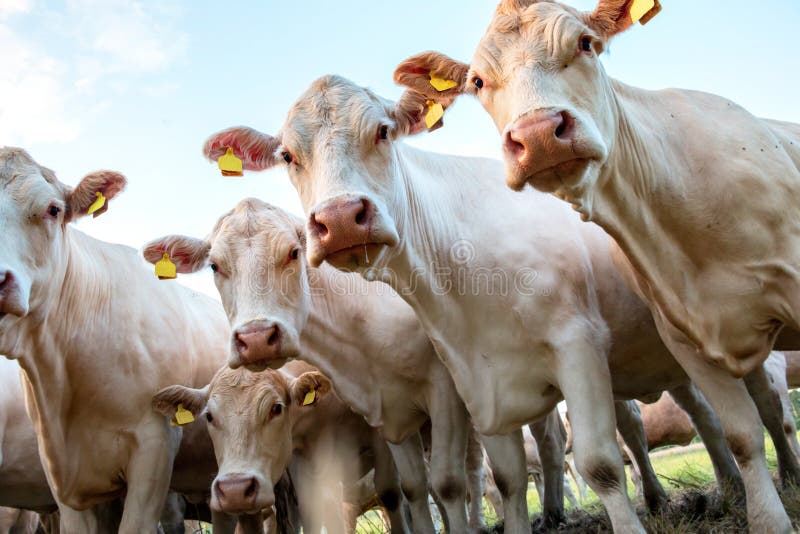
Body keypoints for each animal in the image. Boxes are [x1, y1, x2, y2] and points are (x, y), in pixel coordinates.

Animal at [153, 360, 408, 534]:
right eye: (209, 416)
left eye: (276, 408)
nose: (235, 490)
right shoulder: (301, 459)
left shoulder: (382, 436)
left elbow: (390, 493)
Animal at [197, 75, 761, 533]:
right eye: (289, 156)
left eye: (383, 132)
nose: (339, 219)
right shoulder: (440, 396)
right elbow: (441, 487)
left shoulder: (544, 356)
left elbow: (474, 478)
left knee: (685, 419)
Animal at [391, 1, 800, 530]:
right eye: (478, 82)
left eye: (586, 43)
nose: (539, 135)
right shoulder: (686, 338)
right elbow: (741, 433)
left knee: (775, 410)